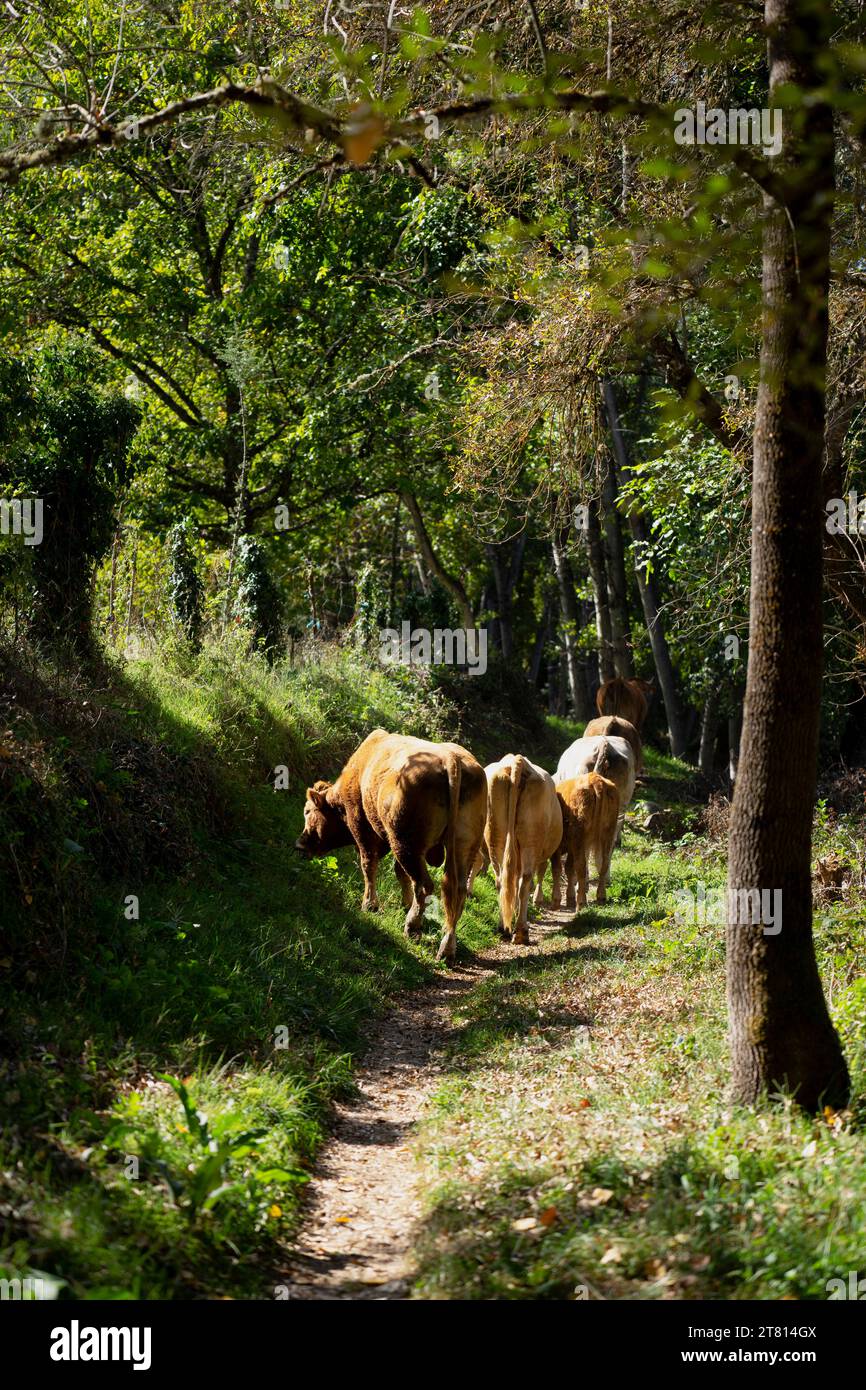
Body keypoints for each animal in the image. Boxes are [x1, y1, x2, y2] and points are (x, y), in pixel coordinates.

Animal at [295, 729, 486, 964]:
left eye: (307, 811)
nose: (300, 844)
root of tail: (451, 758)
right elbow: (399, 872)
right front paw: (404, 902)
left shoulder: (361, 826)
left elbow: (368, 864)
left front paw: (370, 905)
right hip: (459, 847)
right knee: (455, 890)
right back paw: (447, 947)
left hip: (406, 844)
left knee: (424, 885)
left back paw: (412, 927)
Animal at [482, 754, 563, 945]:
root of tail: (516, 761)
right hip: (531, 840)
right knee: (525, 880)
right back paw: (521, 931)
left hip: (496, 838)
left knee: (502, 881)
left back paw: (504, 928)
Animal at [555, 773, 620, 908]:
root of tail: (596, 780)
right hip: (608, 833)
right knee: (604, 864)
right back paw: (601, 897)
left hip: (580, 837)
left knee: (581, 866)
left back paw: (581, 902)